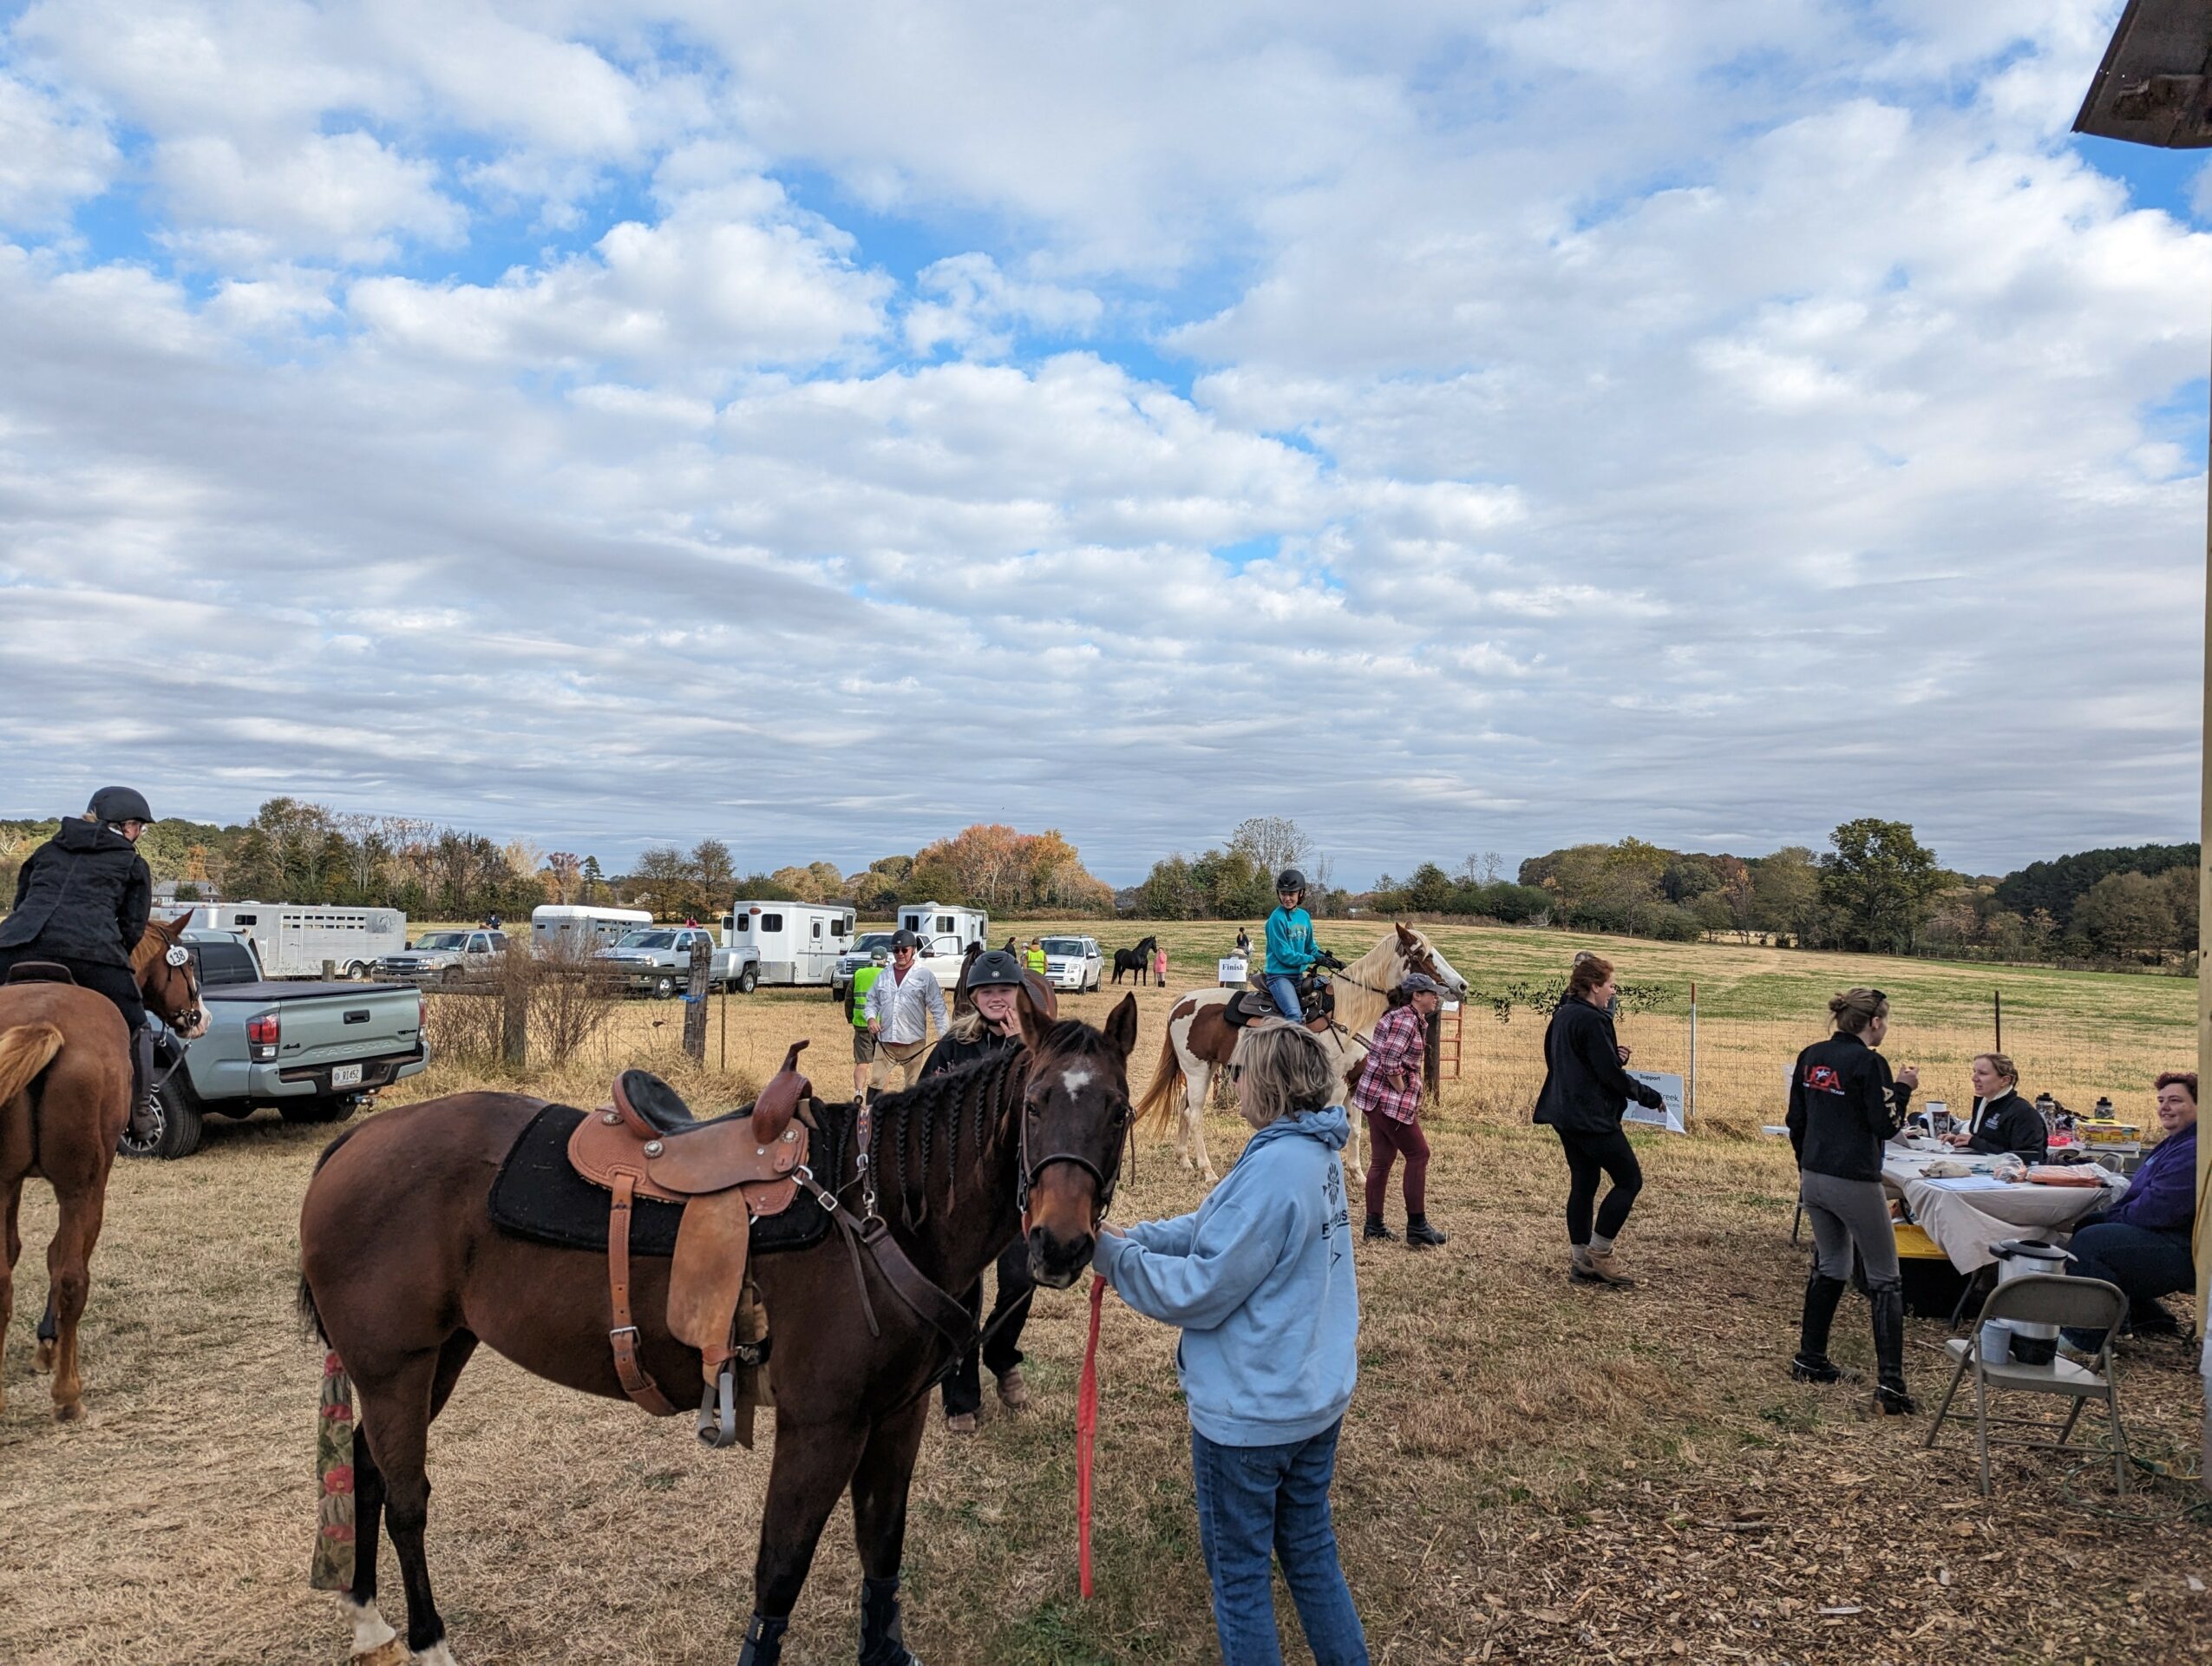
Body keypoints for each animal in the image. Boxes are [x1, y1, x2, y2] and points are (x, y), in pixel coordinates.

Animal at [0, 915, 207, 1420]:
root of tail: (43, 1025)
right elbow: (61, 1258)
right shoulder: (91, 1182)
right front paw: (49, 1344)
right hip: (85, 1185)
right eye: (186, 964)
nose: (197, 1016)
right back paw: (68, 1394)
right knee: (71, 1275)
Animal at [296, 990, 1140, 1666]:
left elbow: (882, 1545)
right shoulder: (821, 1428)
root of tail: (354, 1143)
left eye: (1119, 1110)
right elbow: (781, 1571)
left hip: (436, 1357)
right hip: (396, 1367)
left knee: (365, 1471)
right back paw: (429, 1641)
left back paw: (368, 1622)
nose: (1060, 1245)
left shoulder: (897, 1417)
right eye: (1034, 1104)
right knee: (407, 1498)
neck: (879, 1211)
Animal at [1133, 922, 1468, 1185]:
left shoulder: (1355, 1082)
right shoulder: (1335, 1086)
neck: (1349, 1013)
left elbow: (1356, 1130)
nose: (1462, 986)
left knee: (1184, 1108)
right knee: (1195, 1114)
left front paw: (1358, 1174)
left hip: (1204, 1069)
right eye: (1423, 955)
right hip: (1197, 1069)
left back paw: (1185, 1161)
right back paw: (1207, 1170)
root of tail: (1182, 1001)